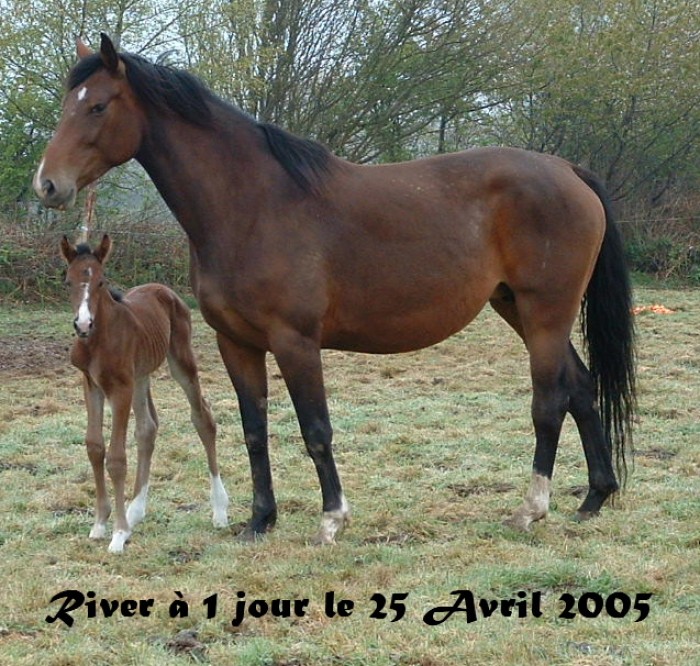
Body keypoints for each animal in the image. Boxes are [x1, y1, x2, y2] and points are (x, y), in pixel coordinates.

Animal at [59, 233, 229, 552]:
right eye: (68, 280)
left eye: (101, 281)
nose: (83, 324)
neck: (98, 339)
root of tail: (164, 289)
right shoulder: (91, 384)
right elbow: (94, 447)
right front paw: (100, 524)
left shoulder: (121, 387)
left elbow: (116, 458)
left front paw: (118, 533)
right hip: (141, 377)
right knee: (148, 429)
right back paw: (136, 510)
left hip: (179, 362)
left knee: (203, 419)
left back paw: (220, 510)